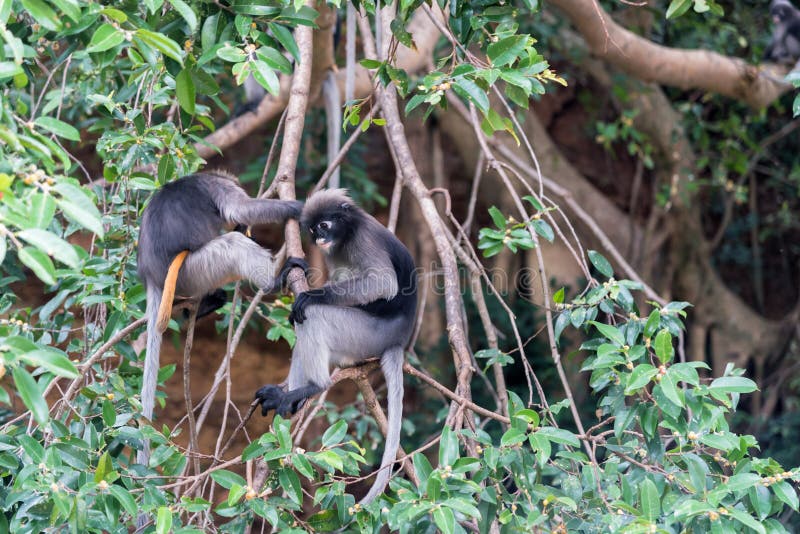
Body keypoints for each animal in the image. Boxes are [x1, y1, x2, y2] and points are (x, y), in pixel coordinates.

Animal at [136, 171, 302, 467]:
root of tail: (152, 276)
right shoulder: (218, 187)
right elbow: (242, 208)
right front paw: (298, 208)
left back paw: (205, 304)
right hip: (197, 270)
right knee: (233, 246)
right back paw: (273, 282)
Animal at [254, 188, 418, 505]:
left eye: (324, 225)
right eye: (312, 229)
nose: (318, 238)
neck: (348, 232)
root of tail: (398, 339)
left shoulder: (364, 240)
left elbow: (384, 284)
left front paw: (313, 294)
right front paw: (290, 272)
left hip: (365, 336)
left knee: (315, 316)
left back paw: (314, 385)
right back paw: (291, 399)